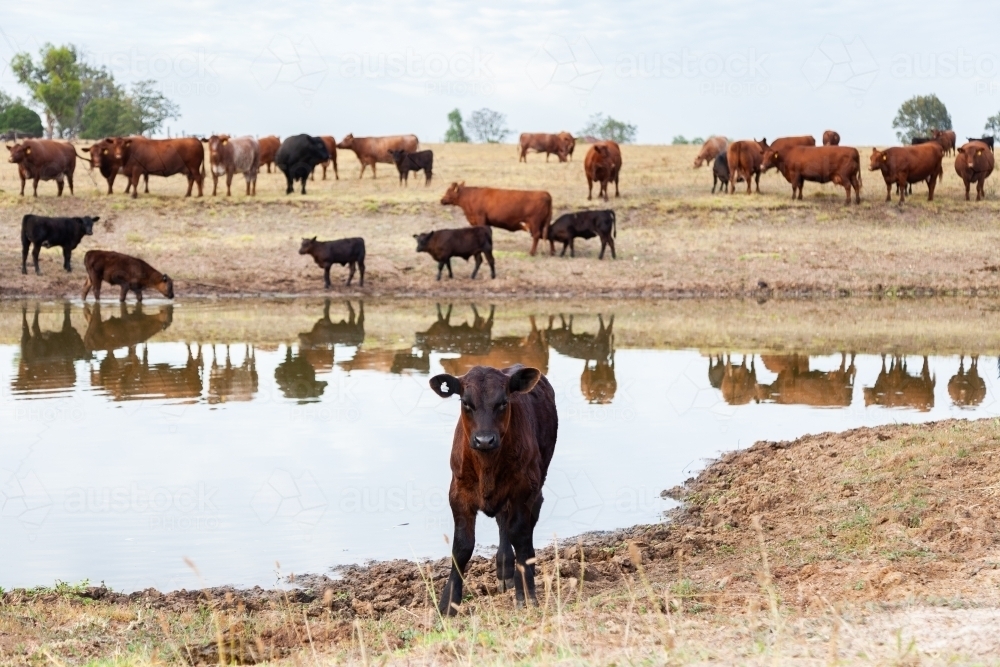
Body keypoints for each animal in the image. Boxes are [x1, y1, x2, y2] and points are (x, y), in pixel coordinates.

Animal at [429, 364, 558, 614]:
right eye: (466, 403)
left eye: (503, 402)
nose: (485, 440)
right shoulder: (458, 493)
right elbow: (462, 546)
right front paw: (448, 603)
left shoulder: (523, 489)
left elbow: (520, 534)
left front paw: (526, 594)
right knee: (503, 521)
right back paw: (504, 568)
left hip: (537, 483)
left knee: (525, 524)